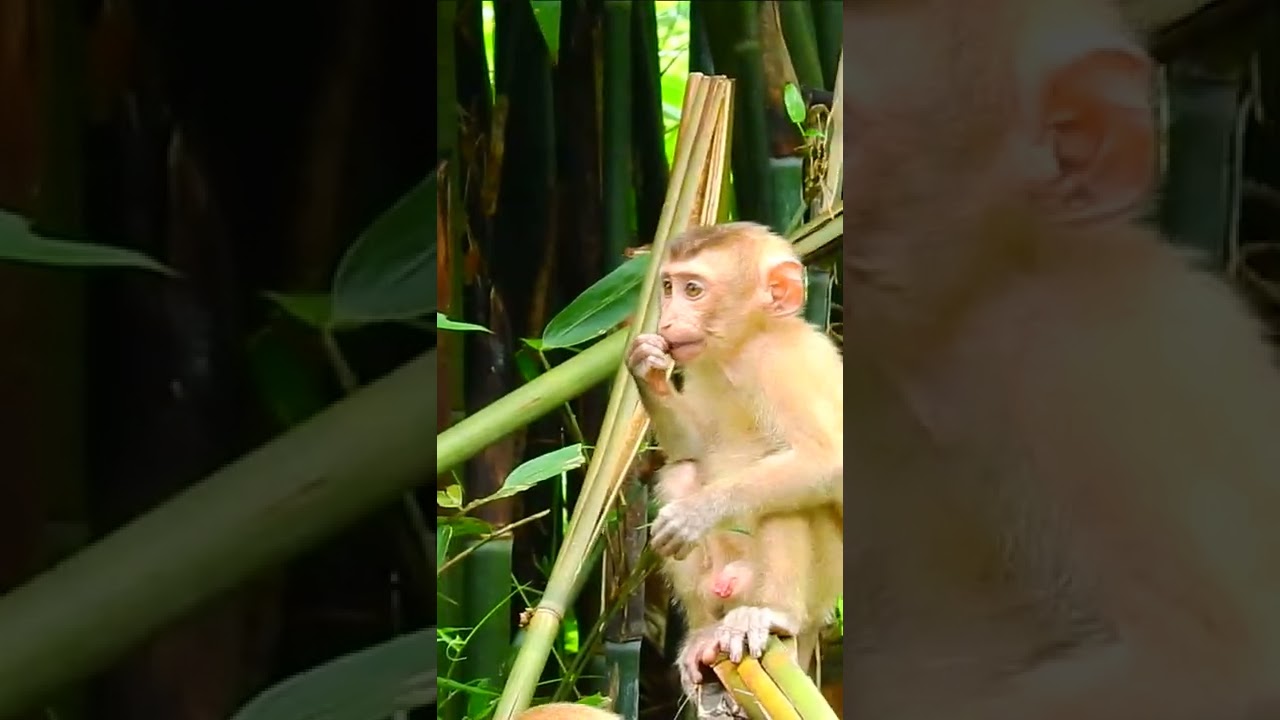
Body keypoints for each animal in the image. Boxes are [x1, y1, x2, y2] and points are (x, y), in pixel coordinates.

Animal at [625, 223, 844, 713]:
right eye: (667, 287)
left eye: (693, 289)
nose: (667, 321)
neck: (741, 350)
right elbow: (691, 447)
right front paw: (646, 367)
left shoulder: (786, 366)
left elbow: (828, 461)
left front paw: (695, 514)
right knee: (681, 472)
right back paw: (703, 635)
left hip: (819, 588)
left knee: (785, 500)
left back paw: (776, 615)